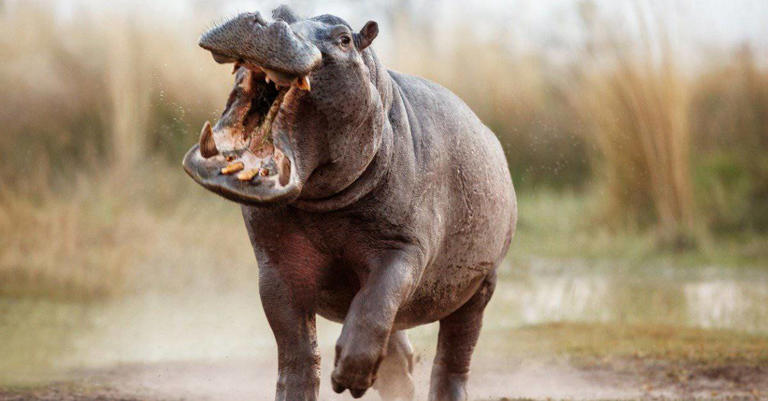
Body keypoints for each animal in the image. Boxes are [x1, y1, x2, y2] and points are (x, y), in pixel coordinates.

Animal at [182, 6, 516, 401]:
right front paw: (309, 387)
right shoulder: (276, 266)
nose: (264, 21)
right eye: (280, 11)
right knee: (397, 350)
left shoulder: (404, 247)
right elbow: (296, 349)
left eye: (344, 38)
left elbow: (377, 300)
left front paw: (350, 378)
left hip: (481, 286)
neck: (322, 205)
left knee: (454, 353)